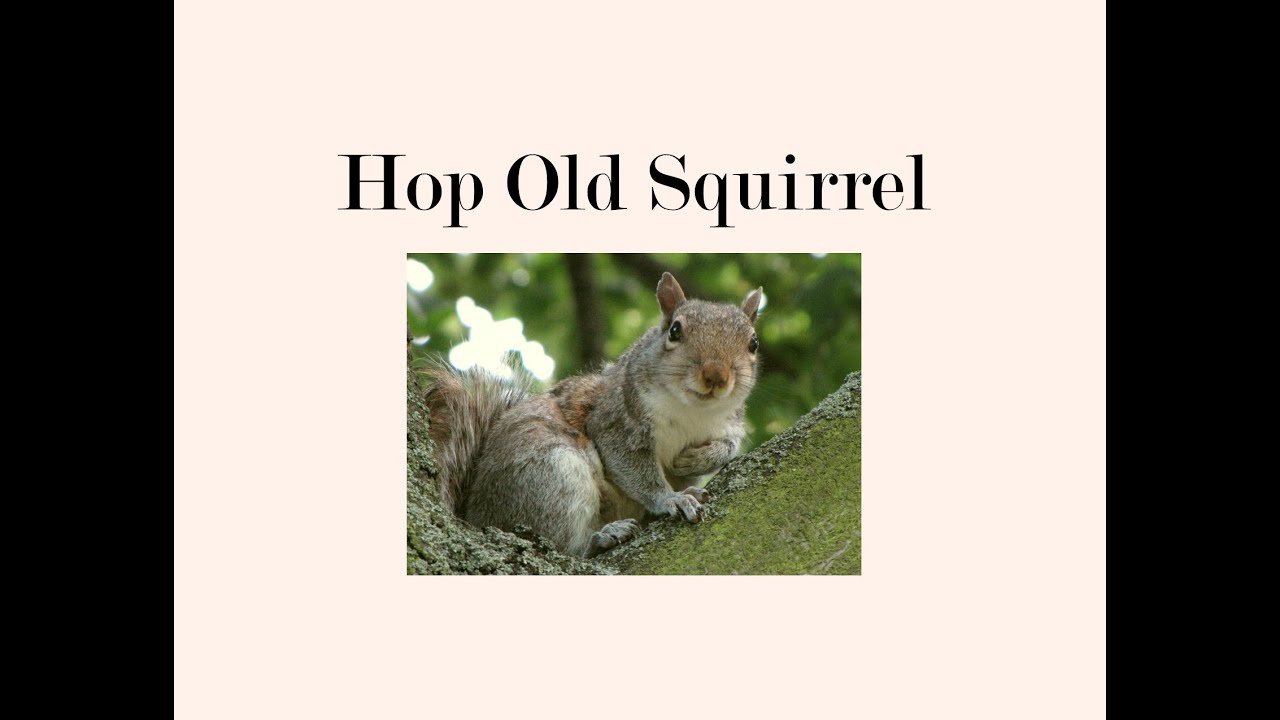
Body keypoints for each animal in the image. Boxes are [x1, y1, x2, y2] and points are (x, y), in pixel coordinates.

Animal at [423, 272, 764, 558]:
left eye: (753, 343)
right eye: (675, 330)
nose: (716, 375)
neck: (692, 410)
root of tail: (476, 515)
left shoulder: (729, 422)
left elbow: (729, 445)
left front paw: (696, 460)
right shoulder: (615, 420)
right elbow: (634, 469)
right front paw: (670, 499)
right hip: (550, 475)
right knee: (562, 543)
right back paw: (601, 538)